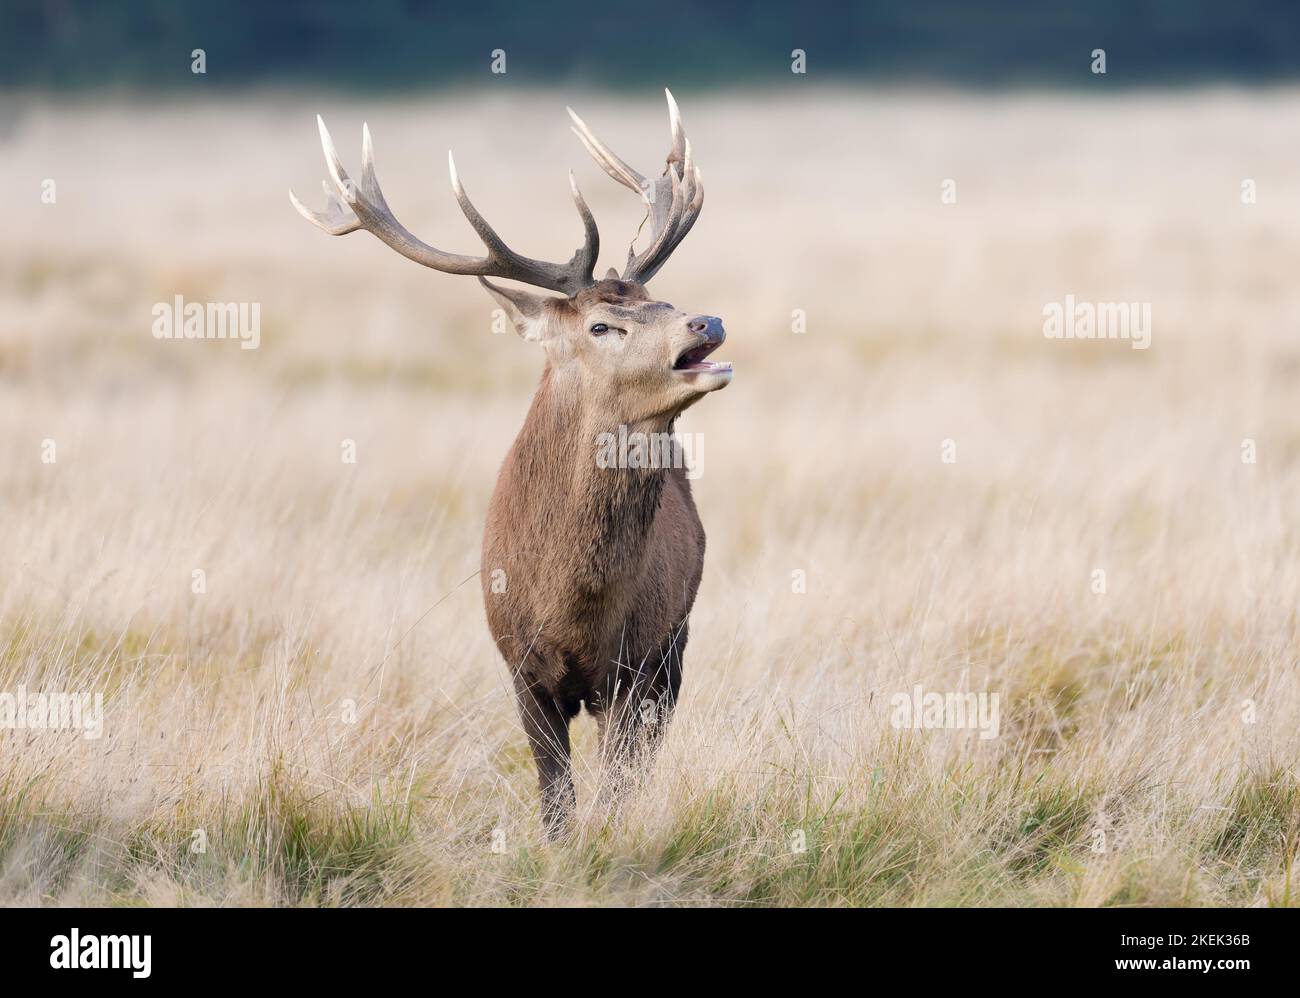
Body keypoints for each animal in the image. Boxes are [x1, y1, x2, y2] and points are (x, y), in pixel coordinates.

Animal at [291, 91, 731, 836]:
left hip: (677, 643)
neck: (574, 605)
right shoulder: (520, 666)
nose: (707, 323)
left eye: (662, 302)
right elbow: (555, 803)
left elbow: (613, 792)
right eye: (602, 325)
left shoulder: (637, 665)